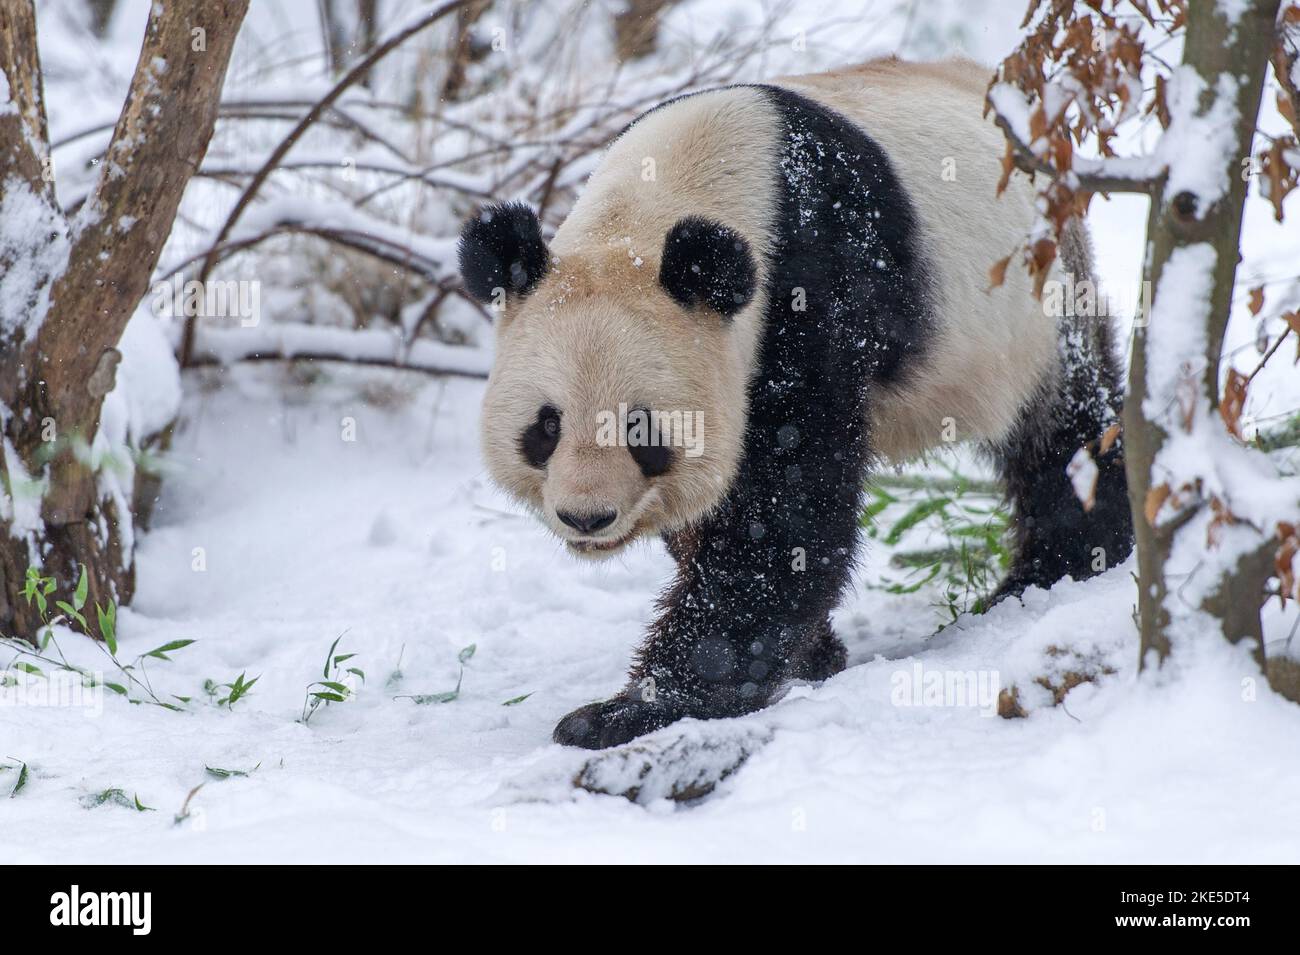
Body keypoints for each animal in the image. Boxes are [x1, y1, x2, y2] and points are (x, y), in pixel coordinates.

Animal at [458, 57, 1133, 750]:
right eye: (546, 426)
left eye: (640, 428)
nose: (586, 518)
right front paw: (814, 653)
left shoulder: (811, 297)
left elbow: (785, 509)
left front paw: (629, 710)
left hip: (1036, 304)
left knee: (1066, 430)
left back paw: (1064, 563)